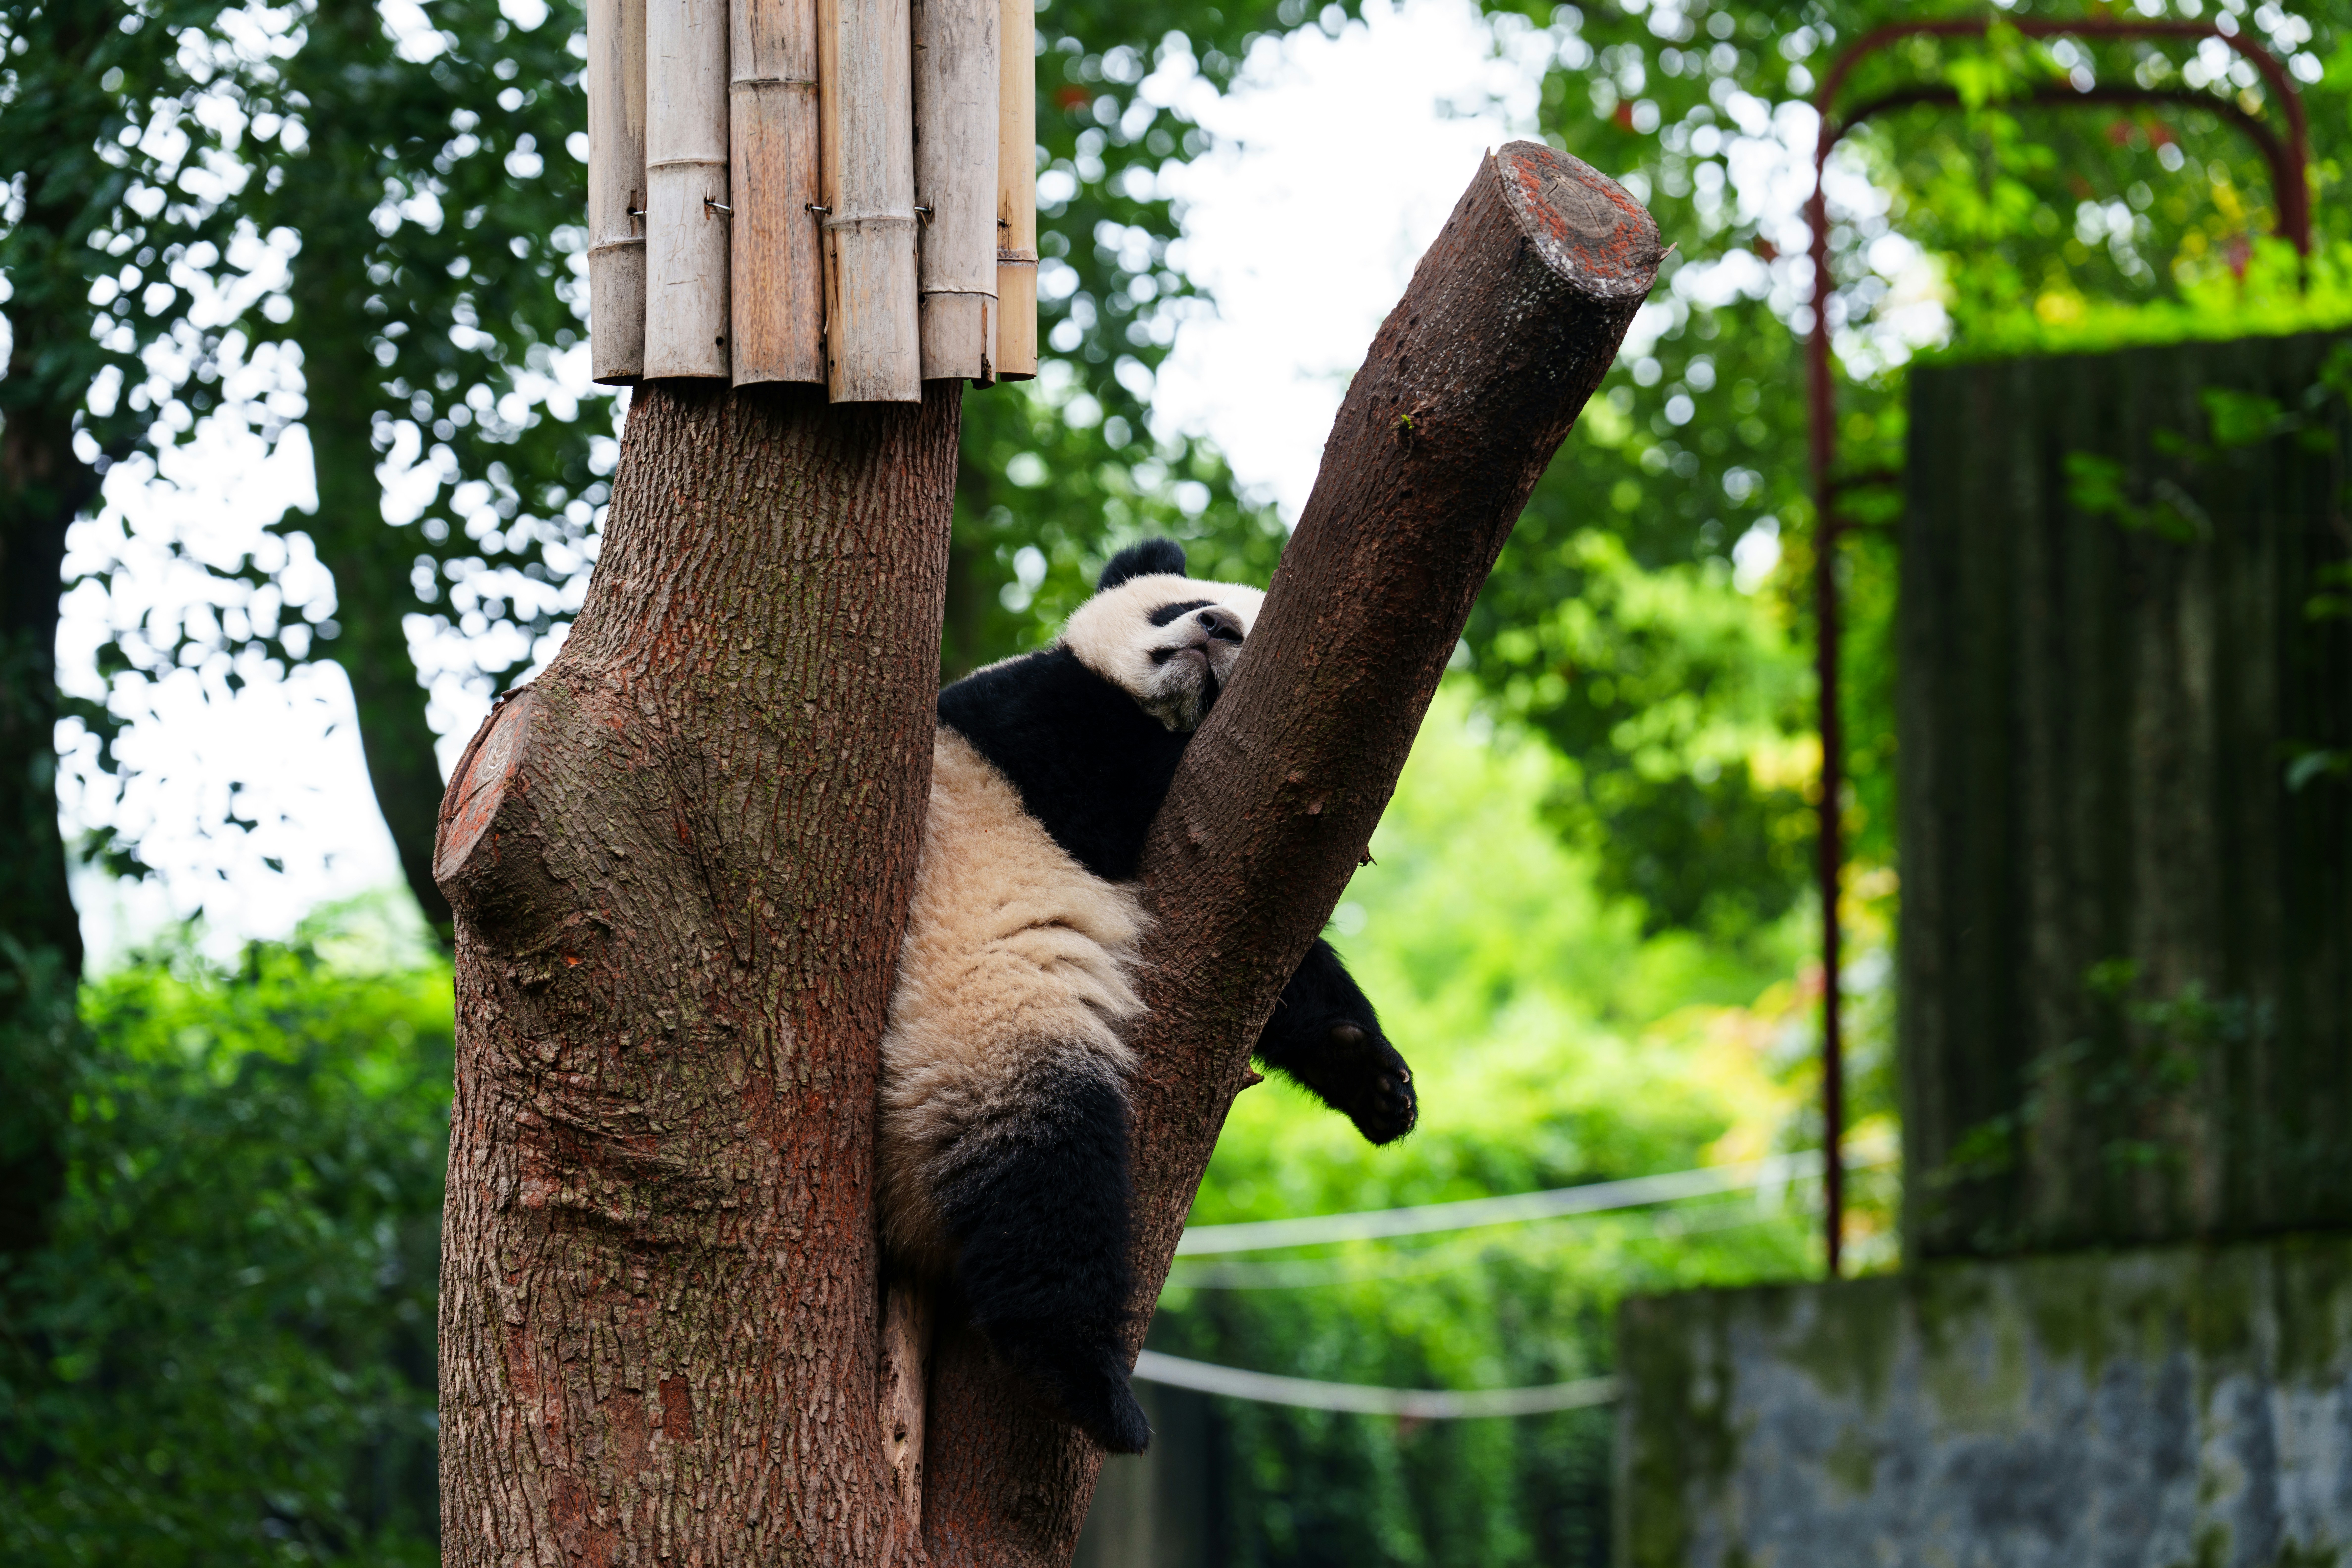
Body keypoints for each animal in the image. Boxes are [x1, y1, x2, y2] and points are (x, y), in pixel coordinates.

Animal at [877, 538, 1417, 1454]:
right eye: (1179, 603)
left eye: (1258, 630)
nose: (1216, 627)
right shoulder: (1031, 720)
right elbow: (1107, 779)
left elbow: (1288, 976)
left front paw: (1374, 1079)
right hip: (979, 1028)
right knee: (1049, 1180)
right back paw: (1090, 1387)